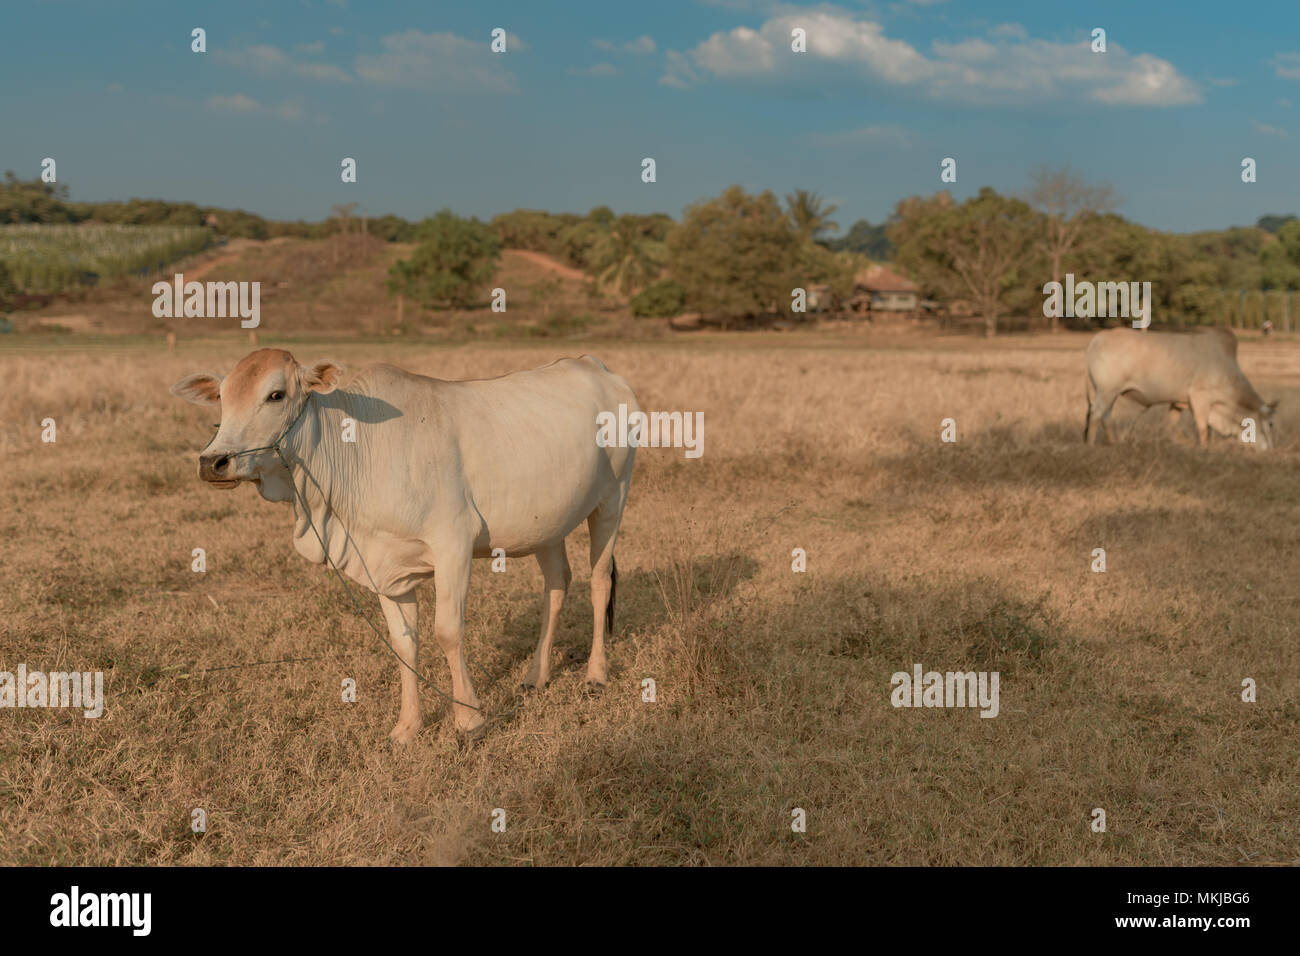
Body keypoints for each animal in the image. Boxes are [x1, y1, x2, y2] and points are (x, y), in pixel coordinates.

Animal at [170, 349, 638, 743]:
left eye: (275, 394)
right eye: (222, 397)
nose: (213, 462)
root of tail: (596, 366)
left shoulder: (453, 546)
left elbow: (448, 632)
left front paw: (469, 719)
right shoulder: (383, 566)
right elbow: (404, 642)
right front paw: (408, 727)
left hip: (613, 499)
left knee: (599, 581)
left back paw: (596, 674)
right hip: (548, 526)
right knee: (557, 585)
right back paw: (536, 675)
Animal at [1084, 327, 1278, 448]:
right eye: (1269, 424)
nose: (1269, 450)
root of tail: (1098, 339)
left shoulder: (1178, 403)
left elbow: (1171, 424)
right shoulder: (1200, 398)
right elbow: (1203, 429)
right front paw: (1205, 449)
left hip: (1110, 394)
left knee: (1106, 417)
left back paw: (1113, 443)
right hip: (1107, 391)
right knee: (1096, 414)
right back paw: (1090, 445)